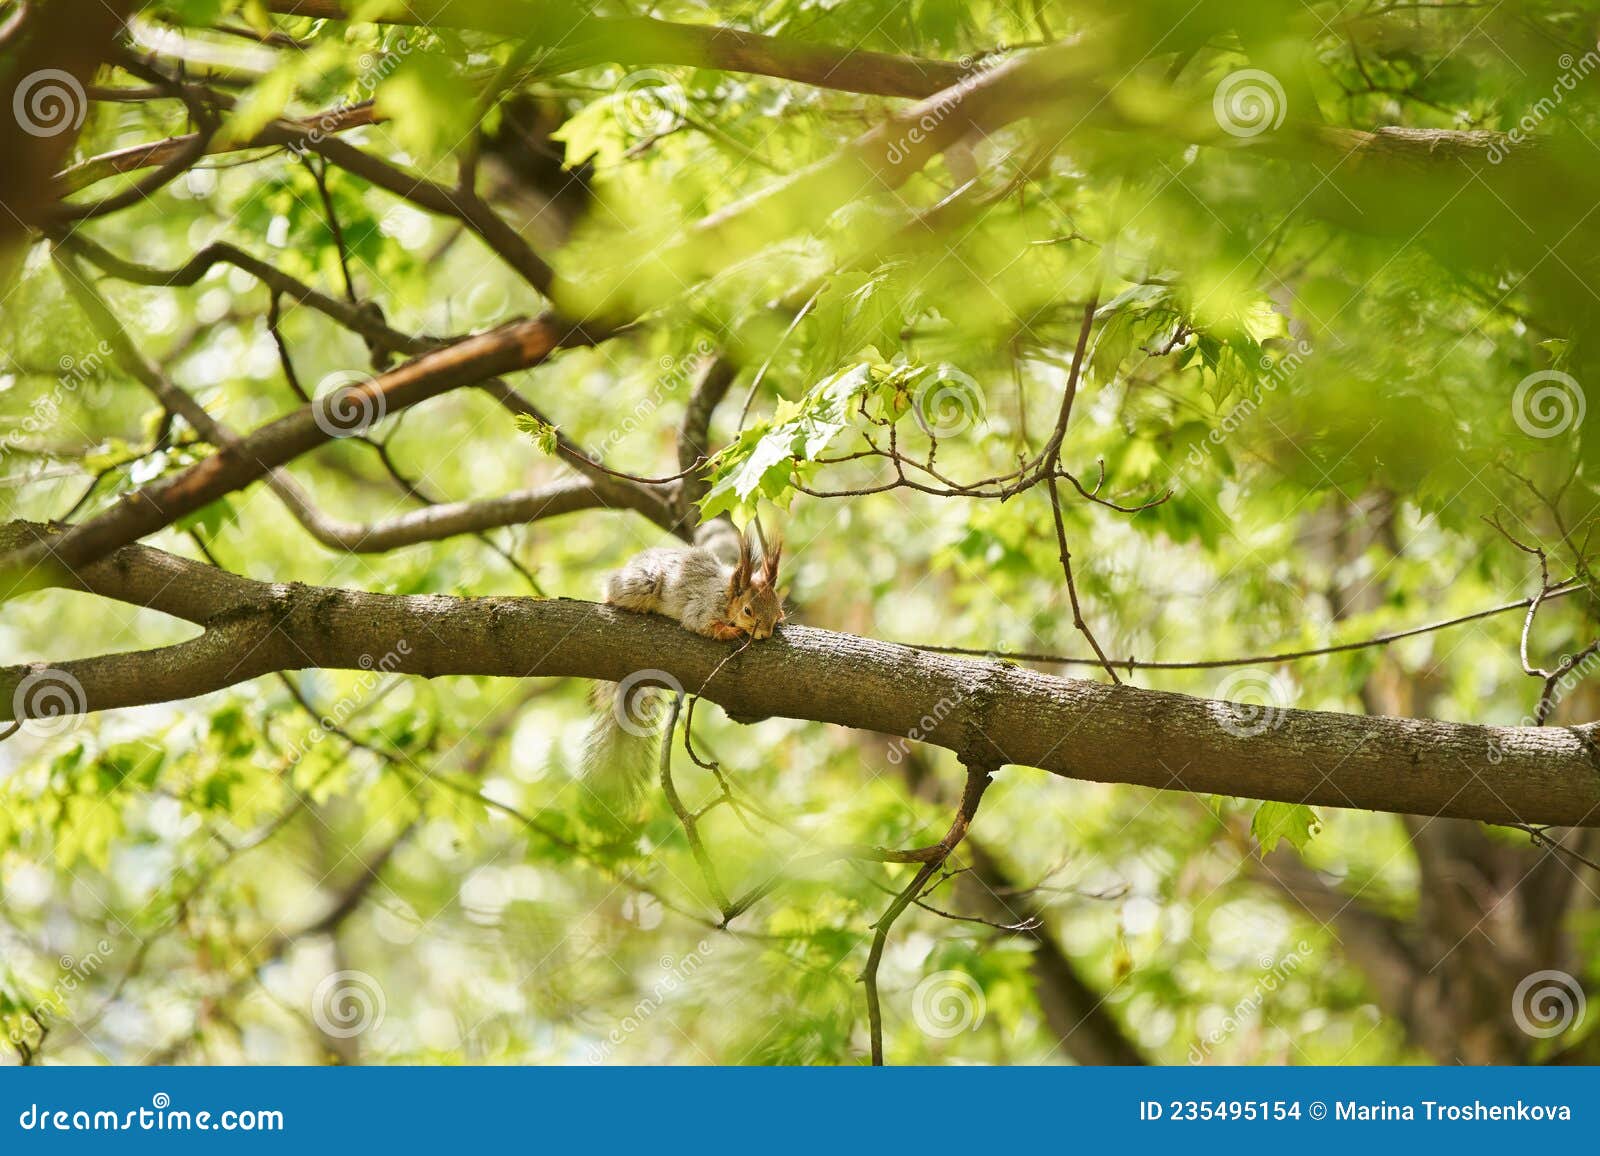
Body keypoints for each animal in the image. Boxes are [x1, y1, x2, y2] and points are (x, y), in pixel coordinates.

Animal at [579, 521, 785, 823]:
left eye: (778, 606)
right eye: (748, 610)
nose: (766, 633)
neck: (726, 595)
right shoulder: (701, 609)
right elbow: (703, 626)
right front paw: (732, 631)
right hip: (640, 583)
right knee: (614, 594)